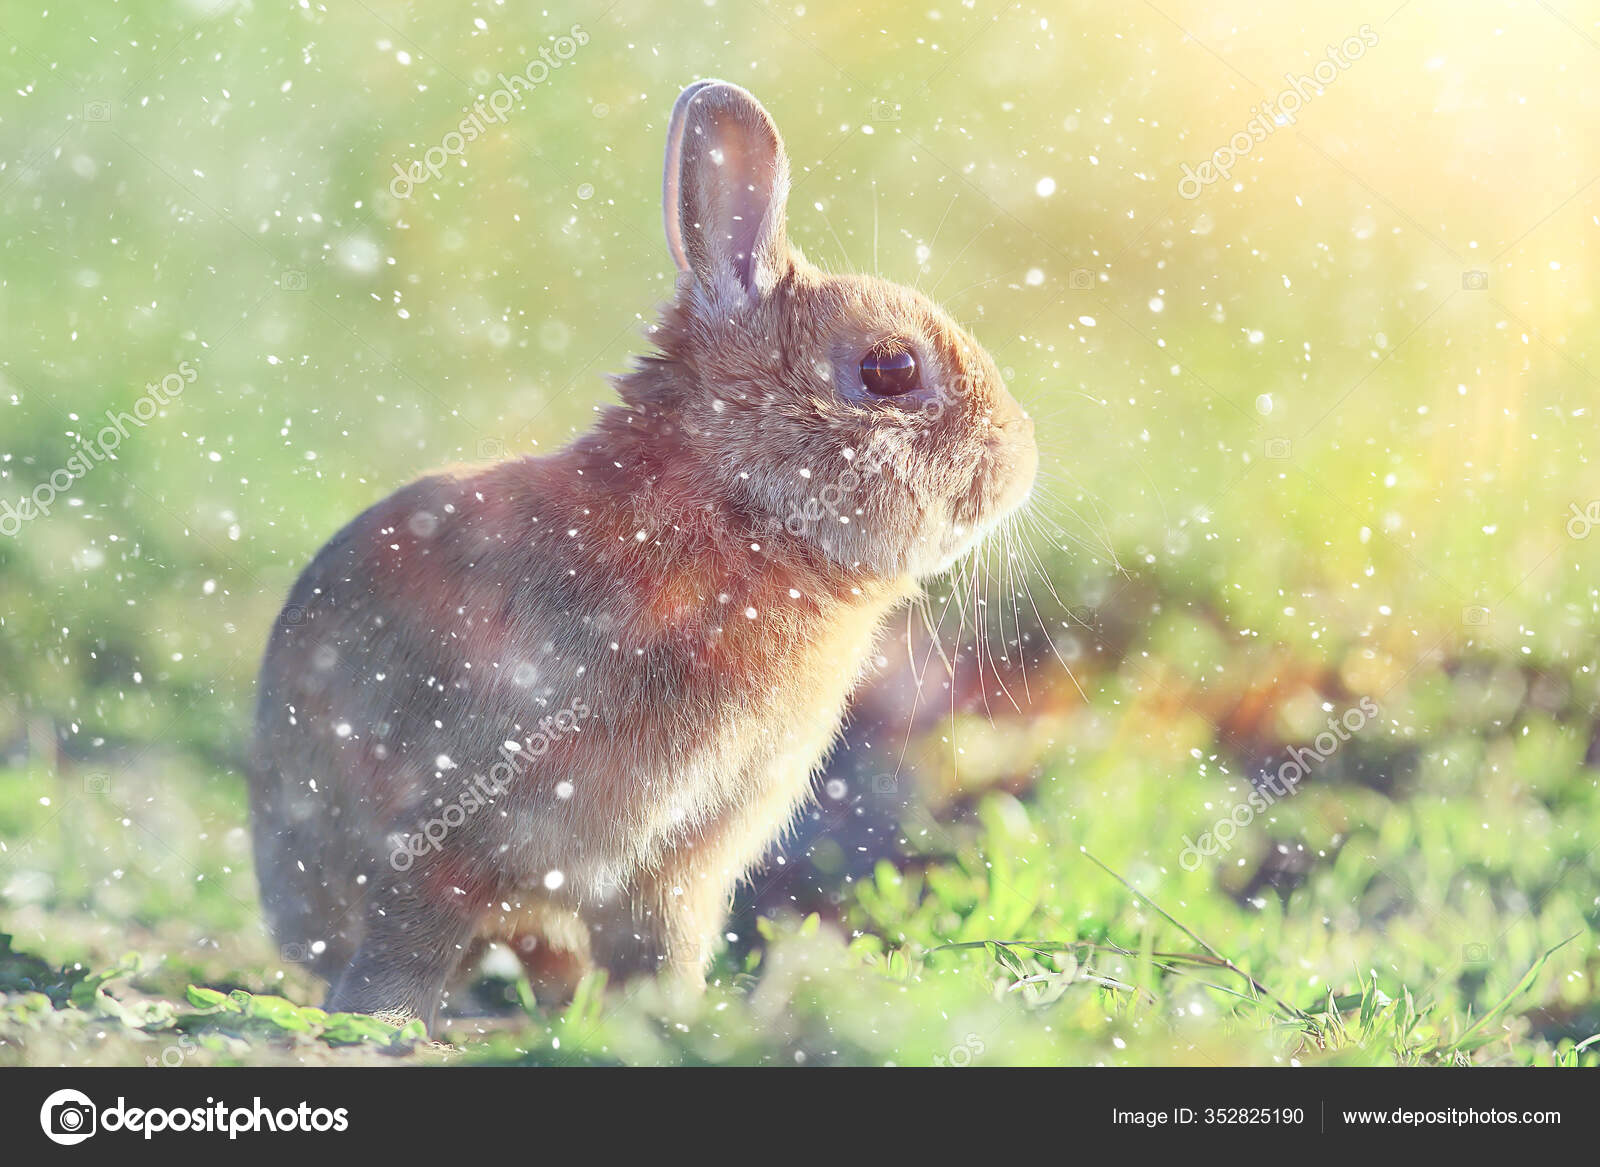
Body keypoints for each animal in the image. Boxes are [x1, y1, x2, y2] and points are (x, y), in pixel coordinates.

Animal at [249, 79, 1037, 1030]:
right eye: (889, 368)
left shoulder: (684, 855)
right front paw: (381, 1021)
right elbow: (416, 922)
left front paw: (676, 1018)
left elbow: (659, 942)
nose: (1023, 458)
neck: (736, 515)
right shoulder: (446, 815)